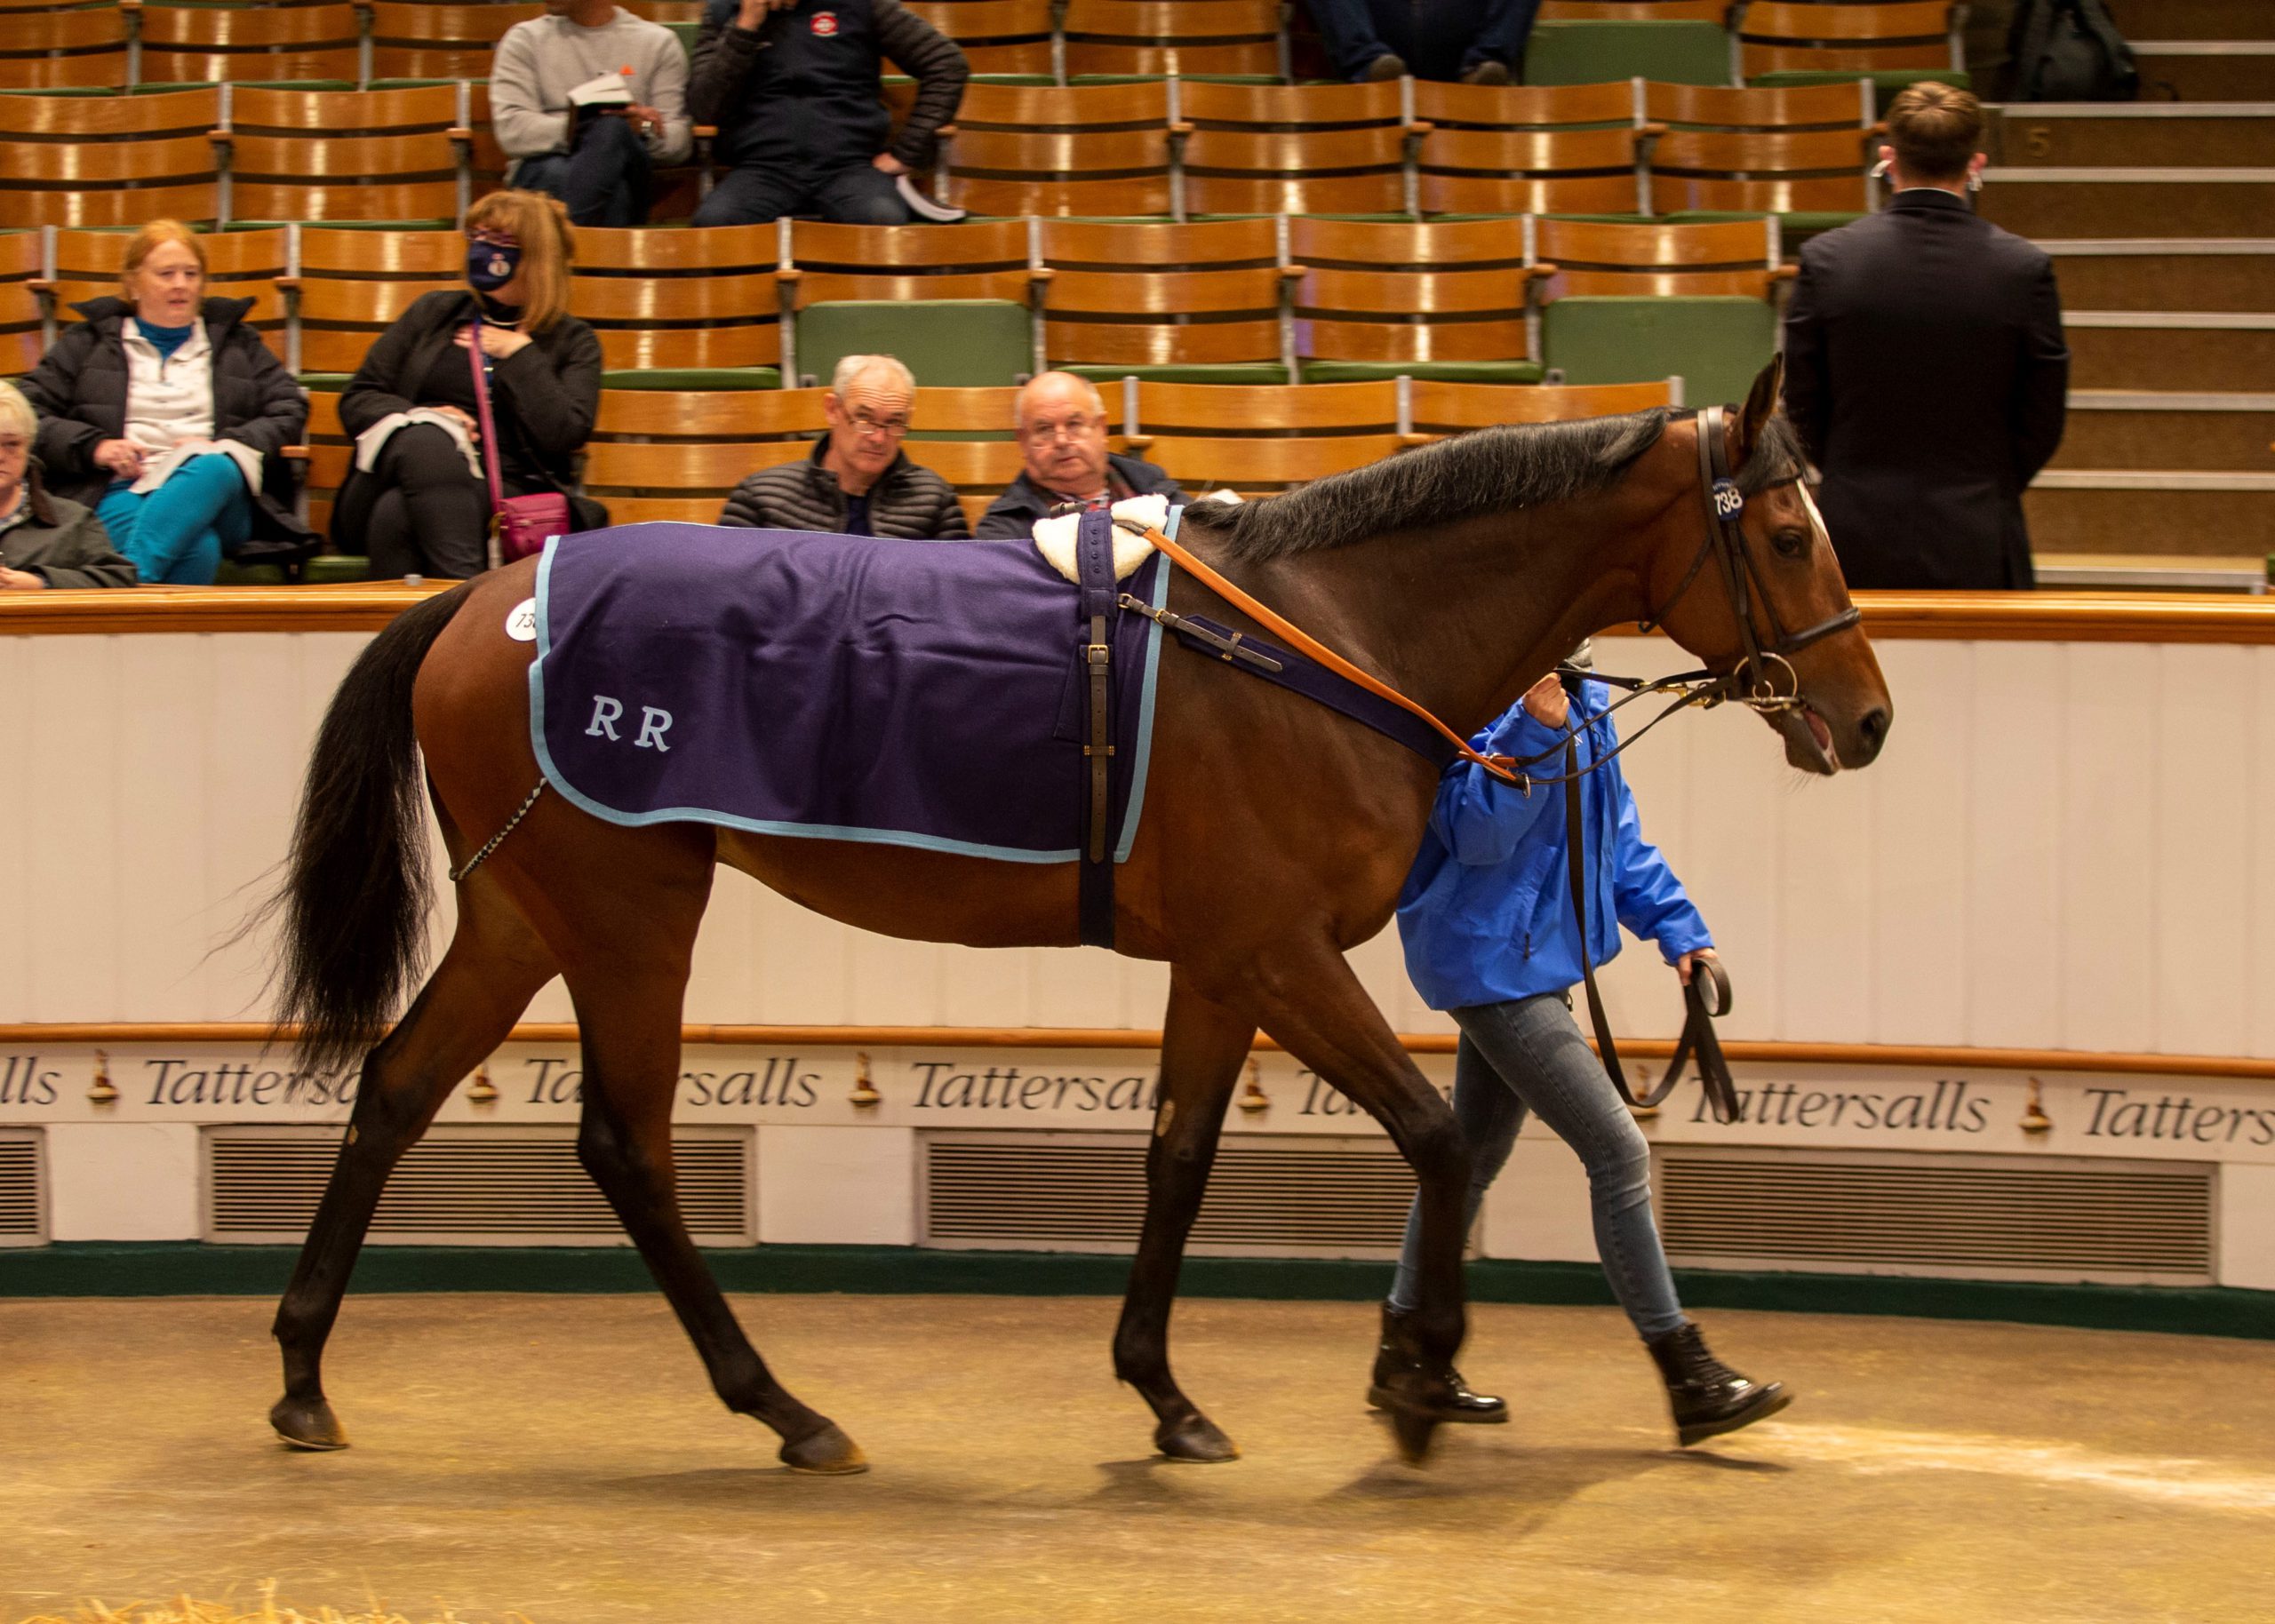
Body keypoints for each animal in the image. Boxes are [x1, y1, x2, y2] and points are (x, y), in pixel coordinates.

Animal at [260, 360, 1891, 1474]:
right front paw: (1424, 1374)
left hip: (524, 910)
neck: (1332, 633)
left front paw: (1167, 1391)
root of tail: (487, 596)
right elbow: (1433, 1137)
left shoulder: (1223, 964)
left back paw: (302, 1374)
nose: (1866, 718)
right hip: (628, 908)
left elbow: (1178, 1158)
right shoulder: (1281, 952)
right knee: (627, 1145)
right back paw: (785, 1406)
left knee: (398, 1086)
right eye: (1789, 534)